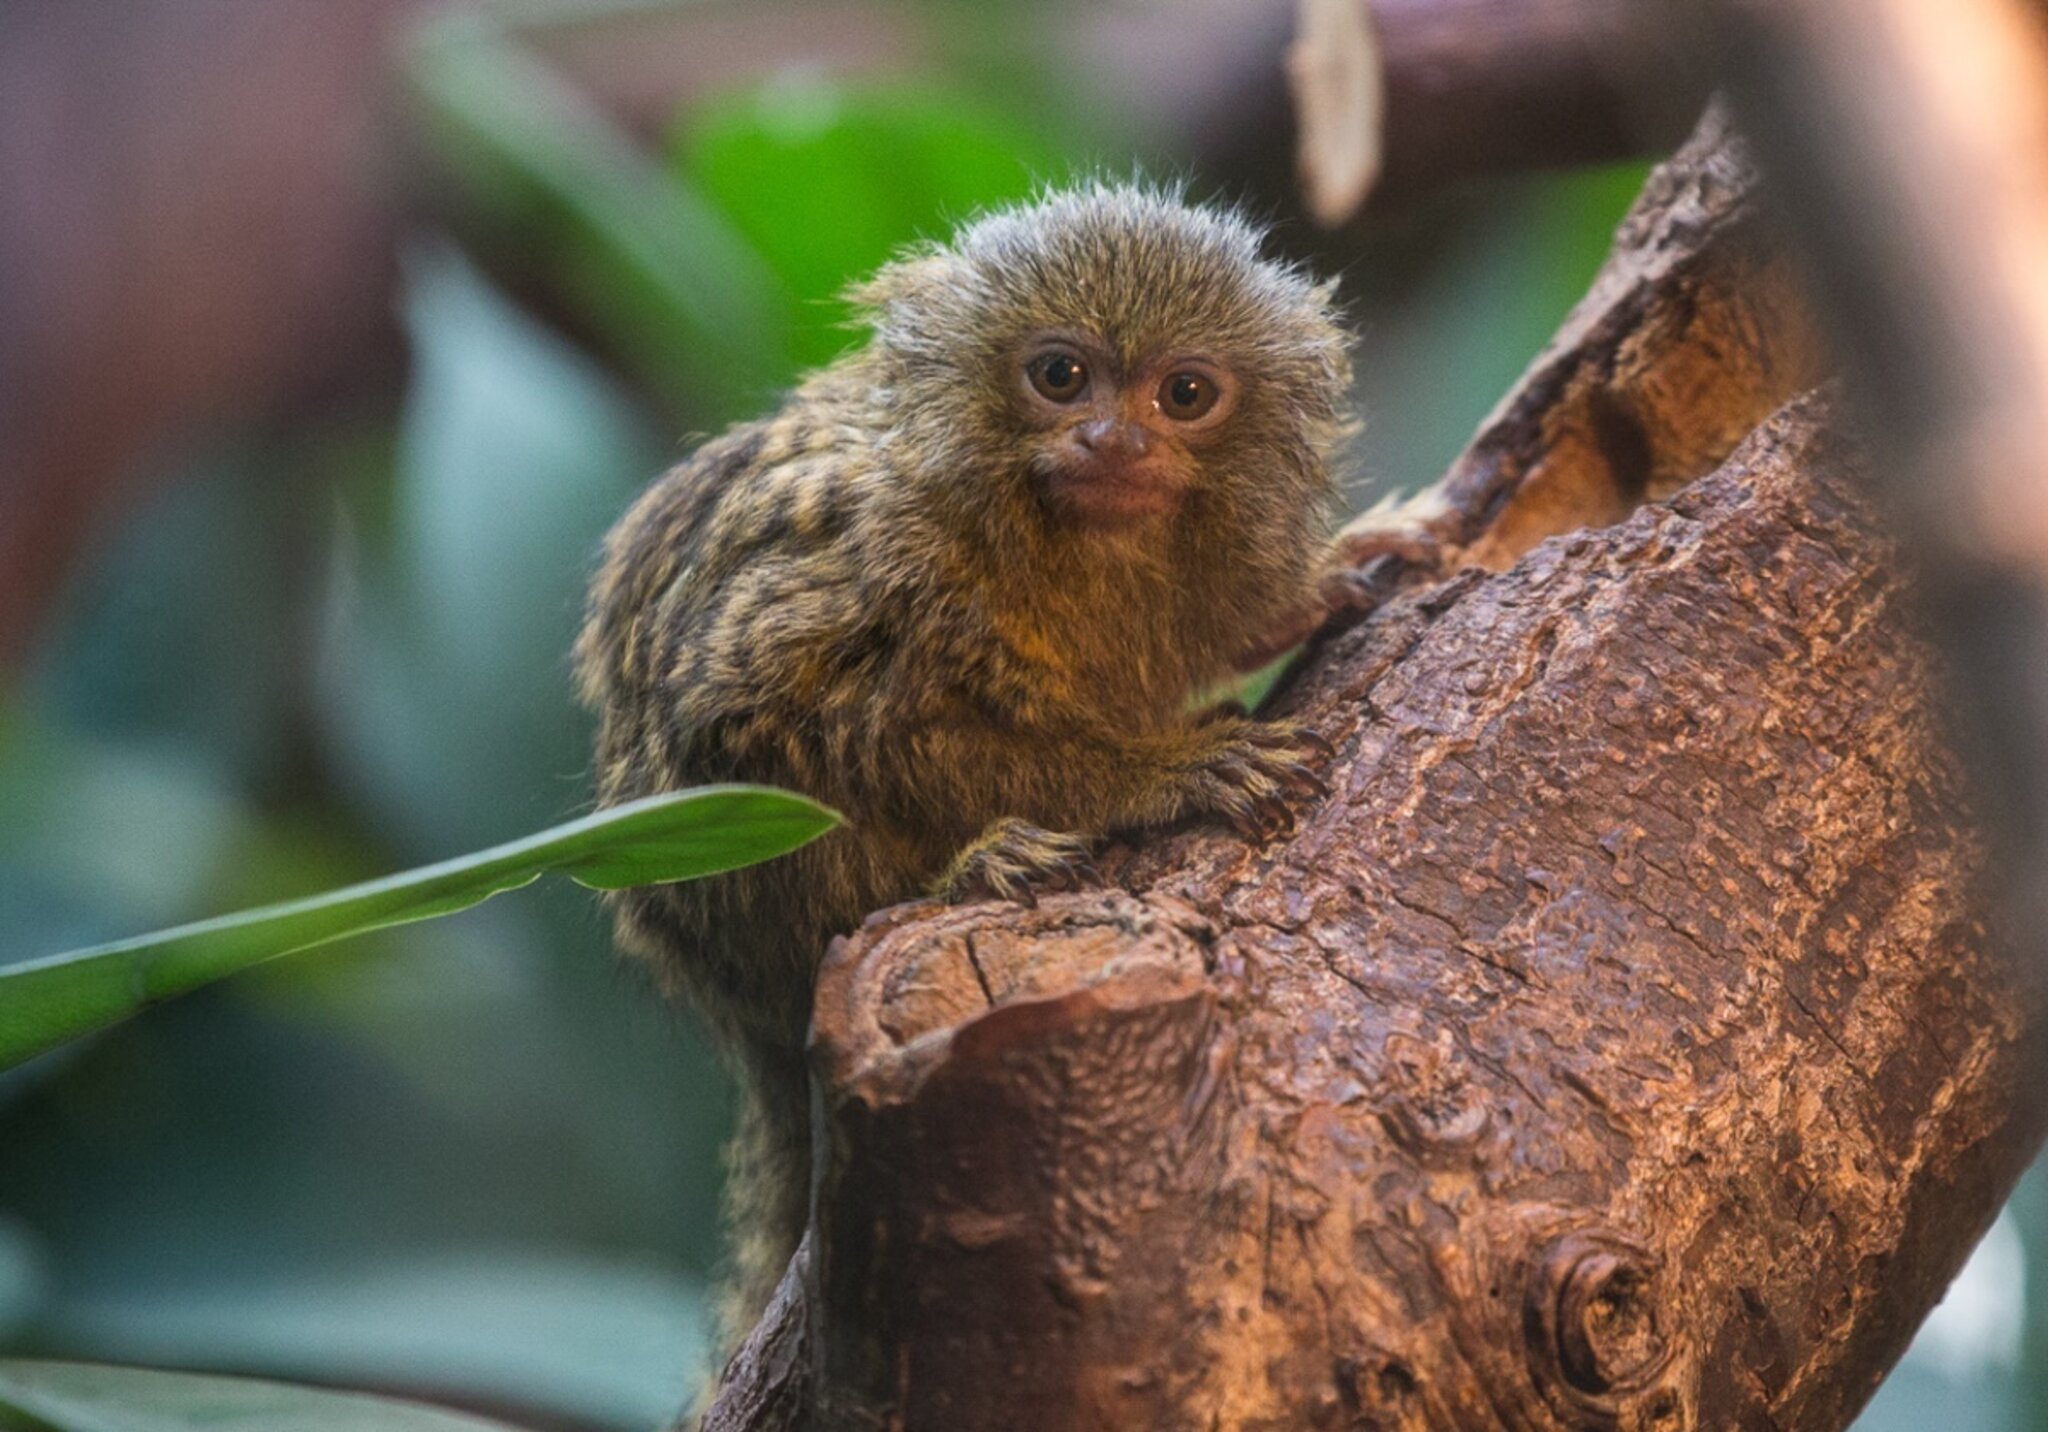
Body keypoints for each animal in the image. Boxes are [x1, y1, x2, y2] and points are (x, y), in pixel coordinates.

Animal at [574, 182, 1359, 1348]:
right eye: (1059, 376)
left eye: (1184, 394)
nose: (1113, 438)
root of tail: (736, 1009)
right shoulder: (858, 572)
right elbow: (754, 733)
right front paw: (1165, 773)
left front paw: (1352, 564)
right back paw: (964, 870)